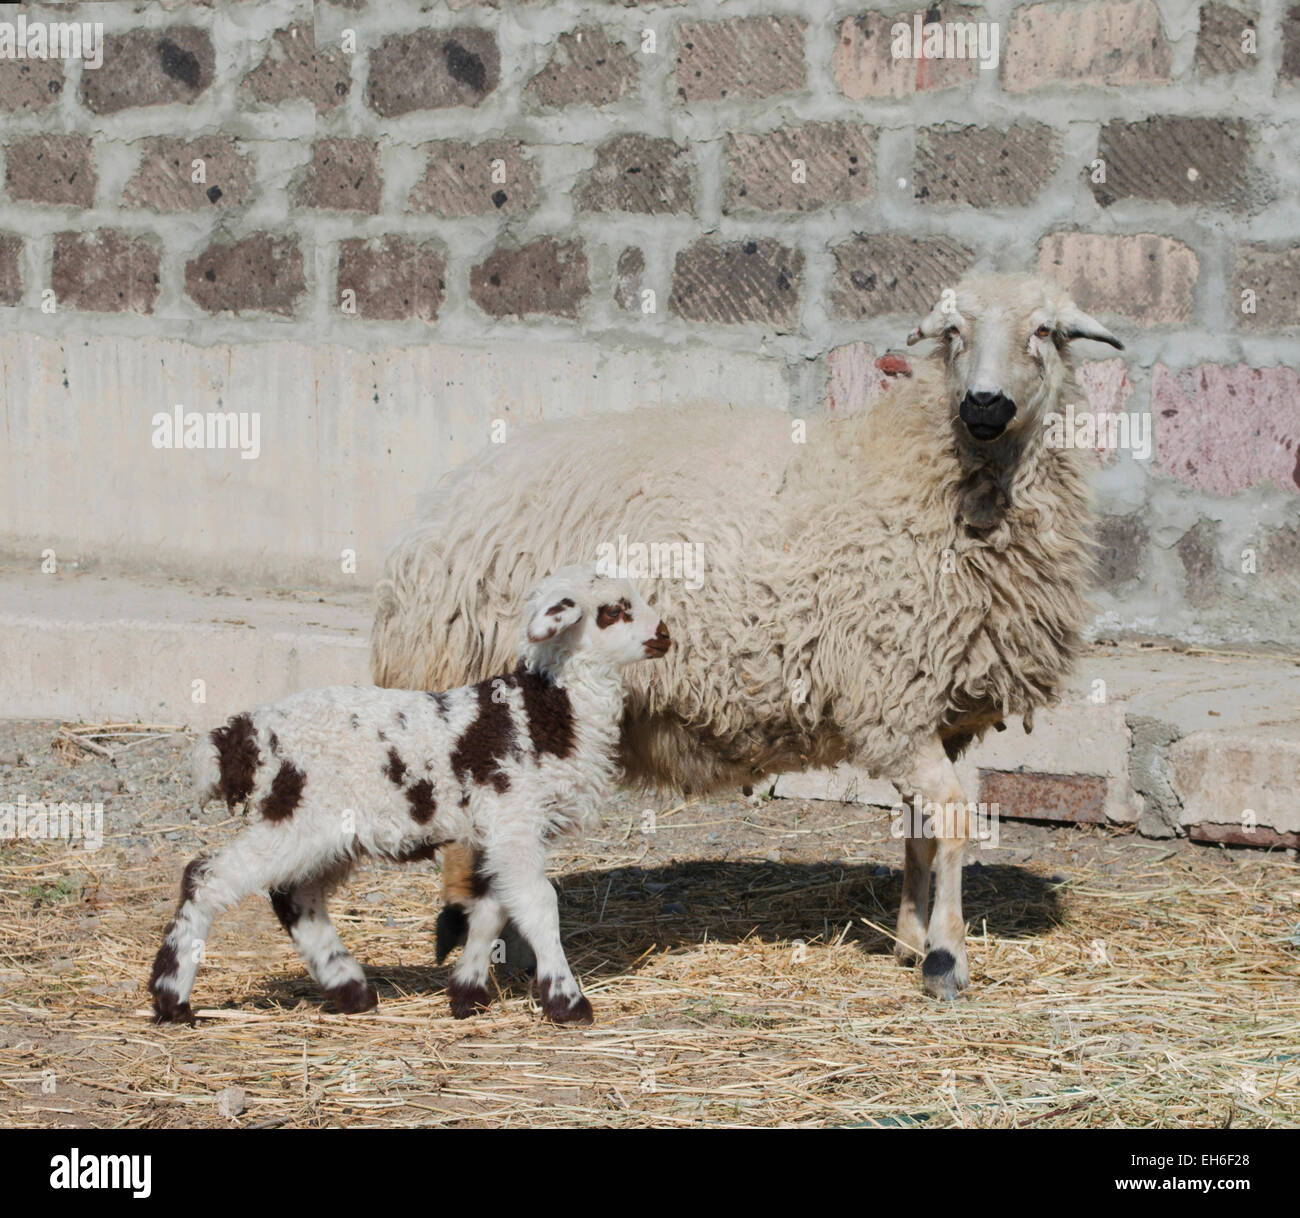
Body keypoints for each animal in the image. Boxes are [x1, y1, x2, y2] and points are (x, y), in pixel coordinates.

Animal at [148, 564, 671, 1026]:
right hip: (297, 818)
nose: (665, 635)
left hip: (324, 832)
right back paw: (172, 1000)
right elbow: (539, 904)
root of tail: (244, 737)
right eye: (613, 611)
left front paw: (467, 994)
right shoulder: (515, 821)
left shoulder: (496, 834)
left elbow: (492, 907)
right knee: (208, 878)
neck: (545, 712)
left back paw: (350, 990)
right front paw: (567, 1002)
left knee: (296, 897)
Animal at [371, 272, 1124, 1000]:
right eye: (953, 332)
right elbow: (954, 819)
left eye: (1045, 332)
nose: (984, 406)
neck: (932, 472)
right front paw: (946, 958)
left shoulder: (926, 710)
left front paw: (911, 942)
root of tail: (443, 512)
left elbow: (918, 829)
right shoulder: (890, 698)